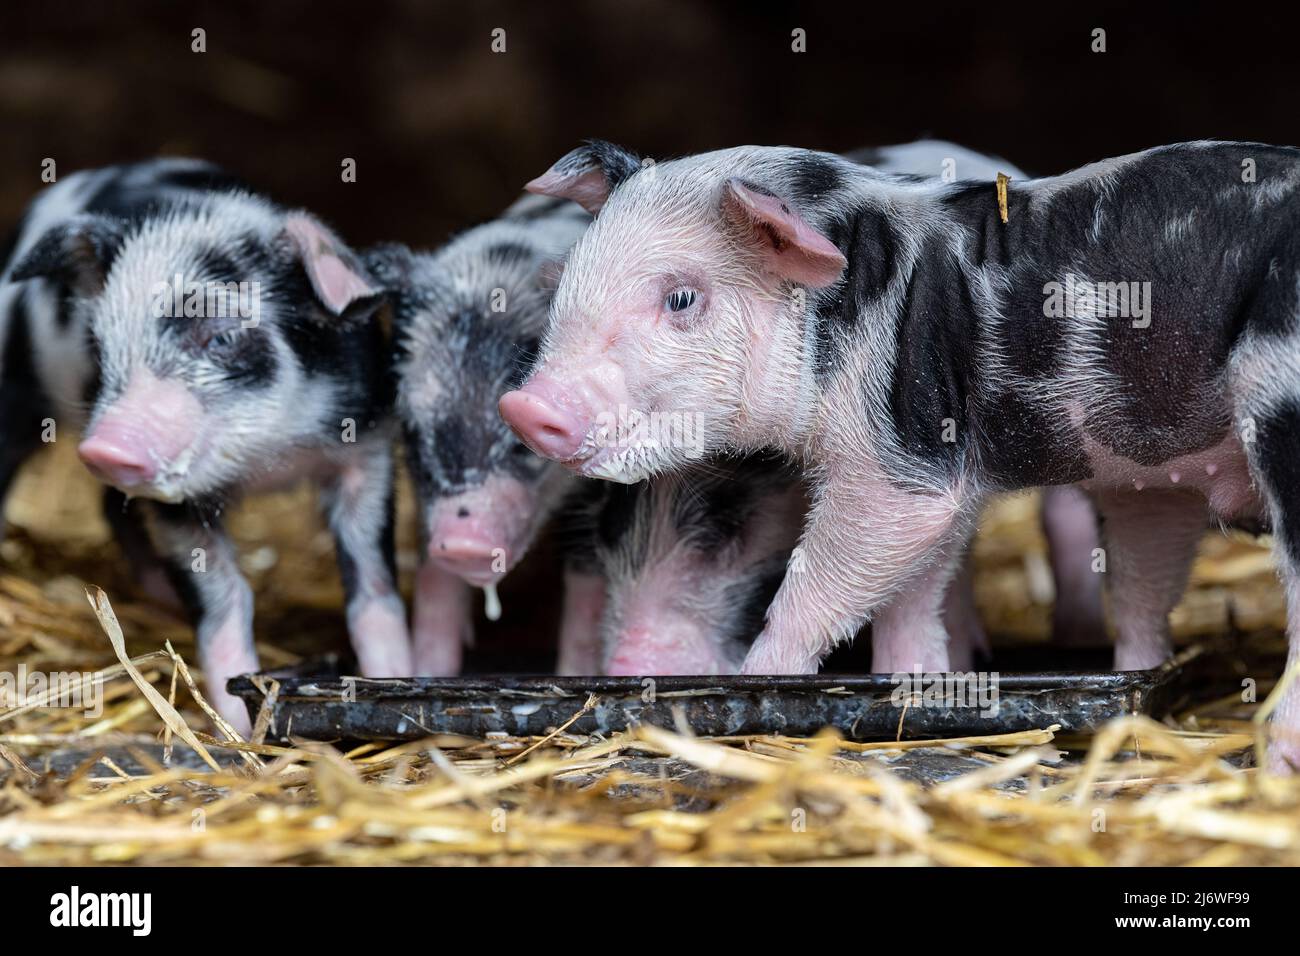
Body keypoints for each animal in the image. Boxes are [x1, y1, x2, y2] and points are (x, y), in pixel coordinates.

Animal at [1, 158, 408, 732]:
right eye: (98, 346)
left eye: (222, 337)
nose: (106, 449)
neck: (271, 461)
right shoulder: (180, 505)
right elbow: (226, 598)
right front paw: (235, 729)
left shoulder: (366, 453)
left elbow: (374, 587)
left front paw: (399, 673)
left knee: (108, 505)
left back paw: (161, 597)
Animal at [503, 139, 1300, 770]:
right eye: (570, 278)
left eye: (681, 298)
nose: (524, 406)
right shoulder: (950, 471)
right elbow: (918, 594)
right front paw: (913, 689)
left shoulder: (892, 460)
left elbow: (823, 583)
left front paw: (761, 685)